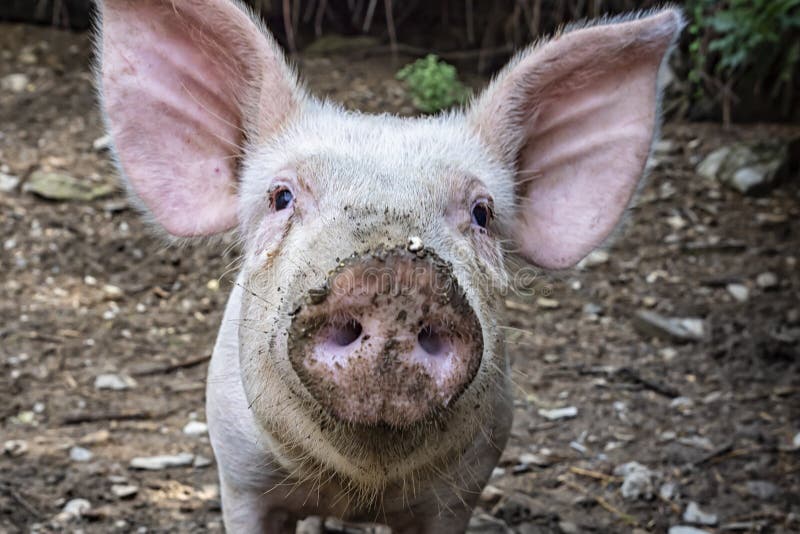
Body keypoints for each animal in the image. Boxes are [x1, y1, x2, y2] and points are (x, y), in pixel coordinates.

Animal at [96, 1, 683, 531]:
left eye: (482, 213)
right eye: (281, 197)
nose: (397, 280)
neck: (358, 490)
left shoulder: (462, 488)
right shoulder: (240, 477)